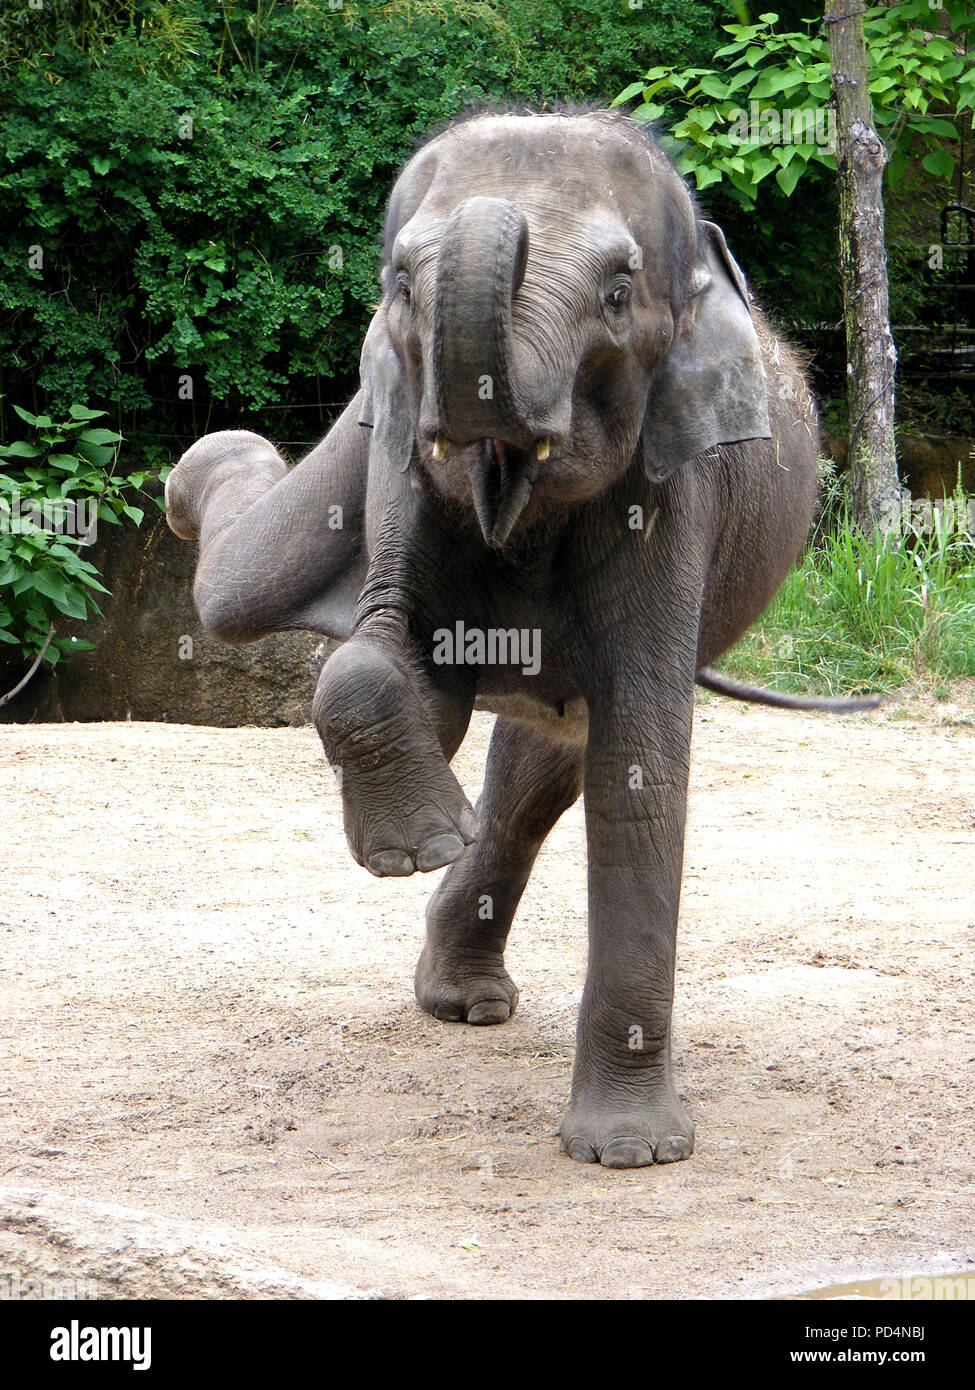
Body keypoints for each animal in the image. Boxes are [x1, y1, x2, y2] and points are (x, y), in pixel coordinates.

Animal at [165, 110, 877, 1169]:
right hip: (351, 435)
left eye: (619, 294)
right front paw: (415, 845)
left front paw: (628, 1155)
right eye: (401, 284)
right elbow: (396, 672)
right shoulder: (400, 463)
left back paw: (466, 997)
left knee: (547, 760)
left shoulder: (671, 493)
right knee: (245, 591)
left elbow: (639, 765)